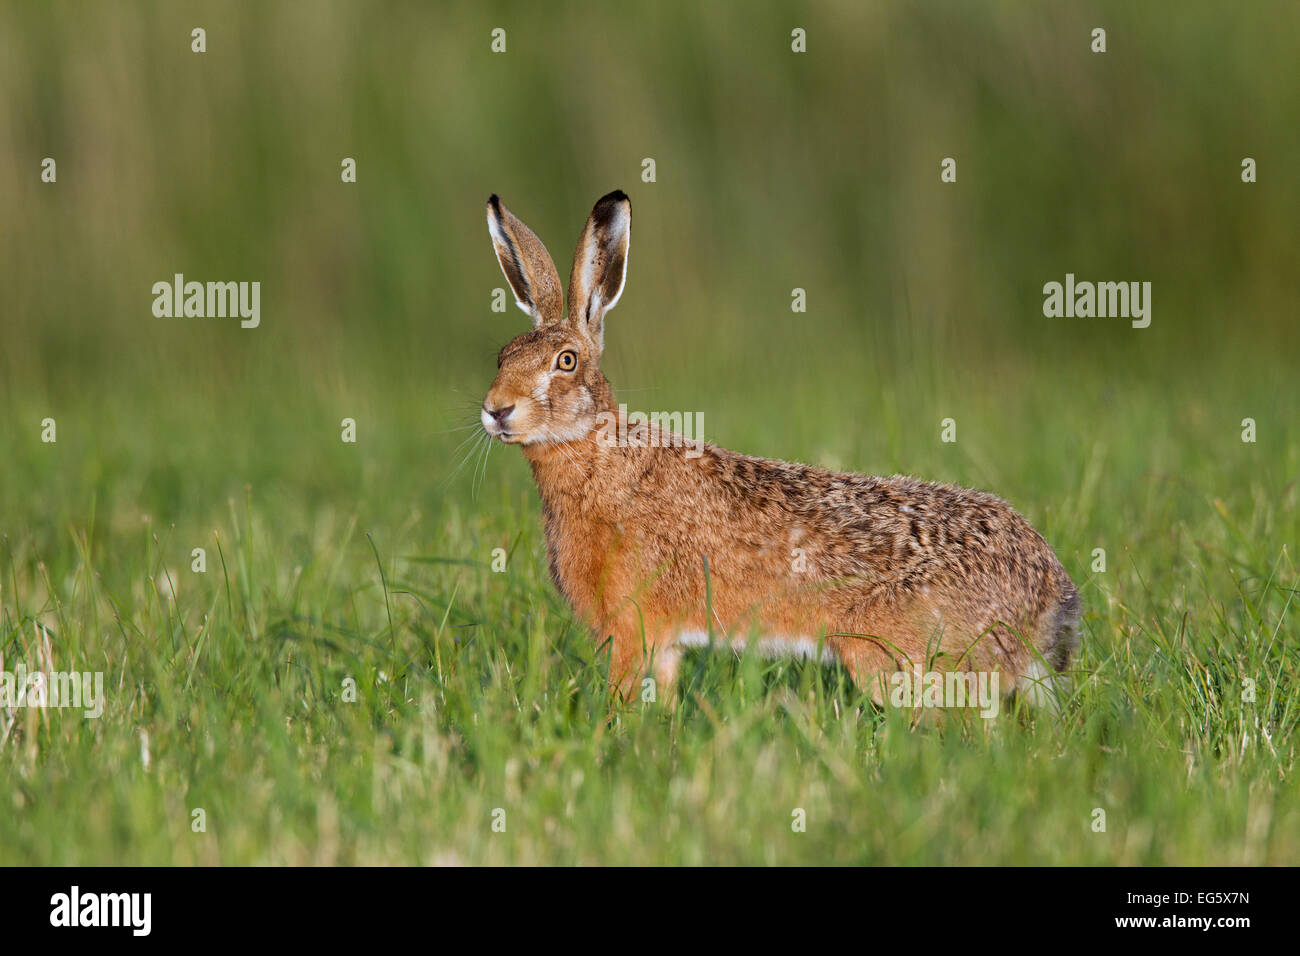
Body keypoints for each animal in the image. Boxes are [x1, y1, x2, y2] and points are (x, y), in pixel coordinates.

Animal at [480, 190, 1080, 707]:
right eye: (502, 356)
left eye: (566, 362)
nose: (496, 409)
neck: (591, 452)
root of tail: (1048, 600)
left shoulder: (633, 623)